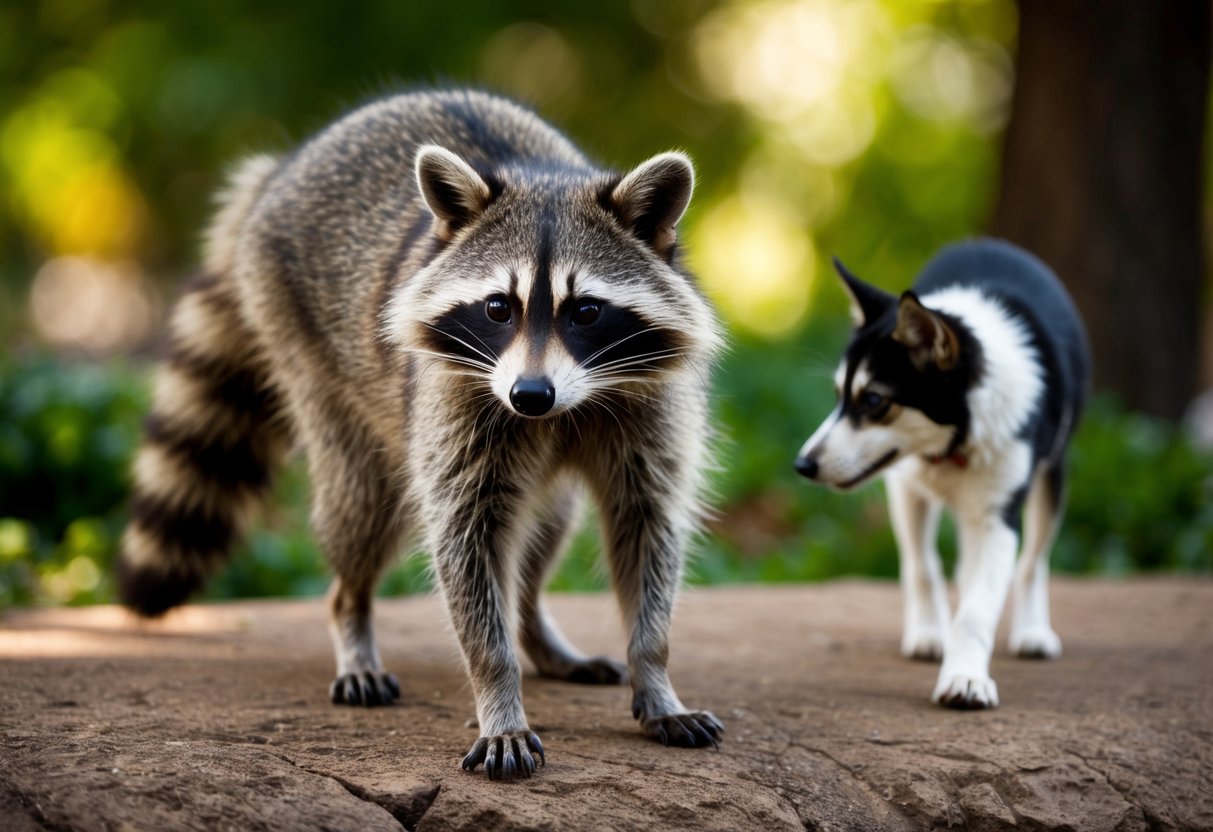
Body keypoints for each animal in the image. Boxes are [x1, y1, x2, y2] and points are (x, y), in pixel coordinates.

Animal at [117, 88, 725, 779]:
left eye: (587, 311)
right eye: (498, 308)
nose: (529, 396)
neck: (565, 406)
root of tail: (277, 173)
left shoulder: (650, 410)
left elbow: (647, 526)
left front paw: (655, 675)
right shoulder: (454, 397)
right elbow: (467, 538)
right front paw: (499, 695)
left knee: (547, 526)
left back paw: (534, 627)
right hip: (301, 340)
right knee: (359, 510)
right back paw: (352, 619)